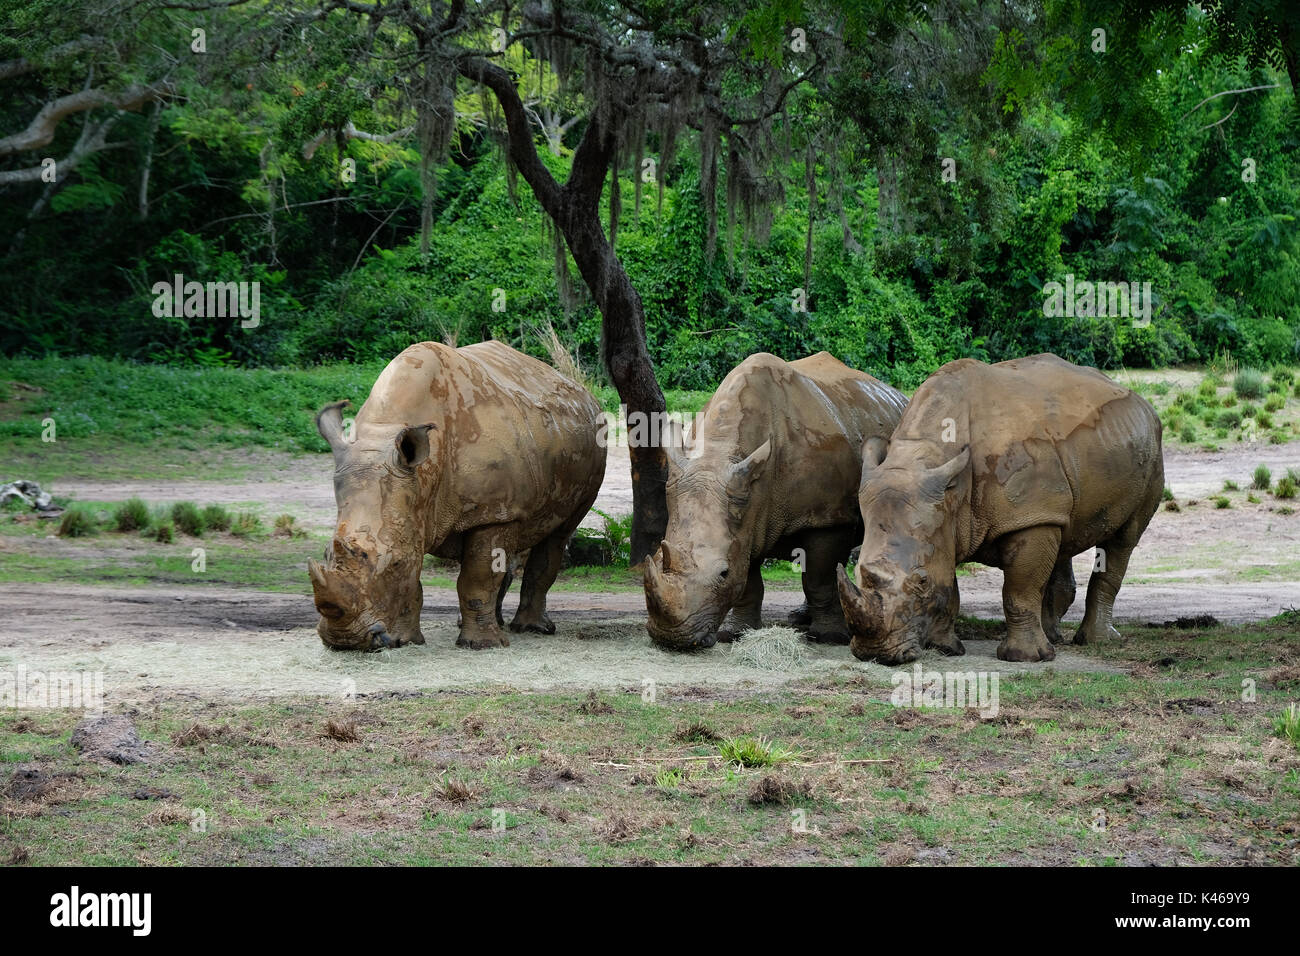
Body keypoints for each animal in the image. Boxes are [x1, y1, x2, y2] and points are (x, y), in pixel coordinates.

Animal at [309, 340, 605, 651]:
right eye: (326, 553)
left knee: (557, 535)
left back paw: (531, 629)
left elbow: (477, 576)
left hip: (590, 452)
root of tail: (583, 392)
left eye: (395, 562)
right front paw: (405, 641)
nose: (344, 641)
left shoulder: (493, 513)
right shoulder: (415, 510)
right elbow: (414, 584)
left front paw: (482, 646)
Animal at [644, 352, 907, 650]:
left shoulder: (827, 517)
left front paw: (829, 638)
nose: (671, 638)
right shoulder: (746, 515)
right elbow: (748, 578)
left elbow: (819, 577)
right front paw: (736, 633)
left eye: (723, 573)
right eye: (657, 559)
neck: (719, 453)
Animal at [836, 353, 1164, 664]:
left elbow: (1019, 590)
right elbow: (950, 585)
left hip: (1151, 451)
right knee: (1063, 531)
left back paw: (1095, 642)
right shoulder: (946, 519)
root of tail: (1140, 401)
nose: (876, 654)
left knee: (1123, 540)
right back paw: (1053, 638)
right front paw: (946, 649)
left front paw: (1025, 658)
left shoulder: (1027, 517)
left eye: (922, 581)